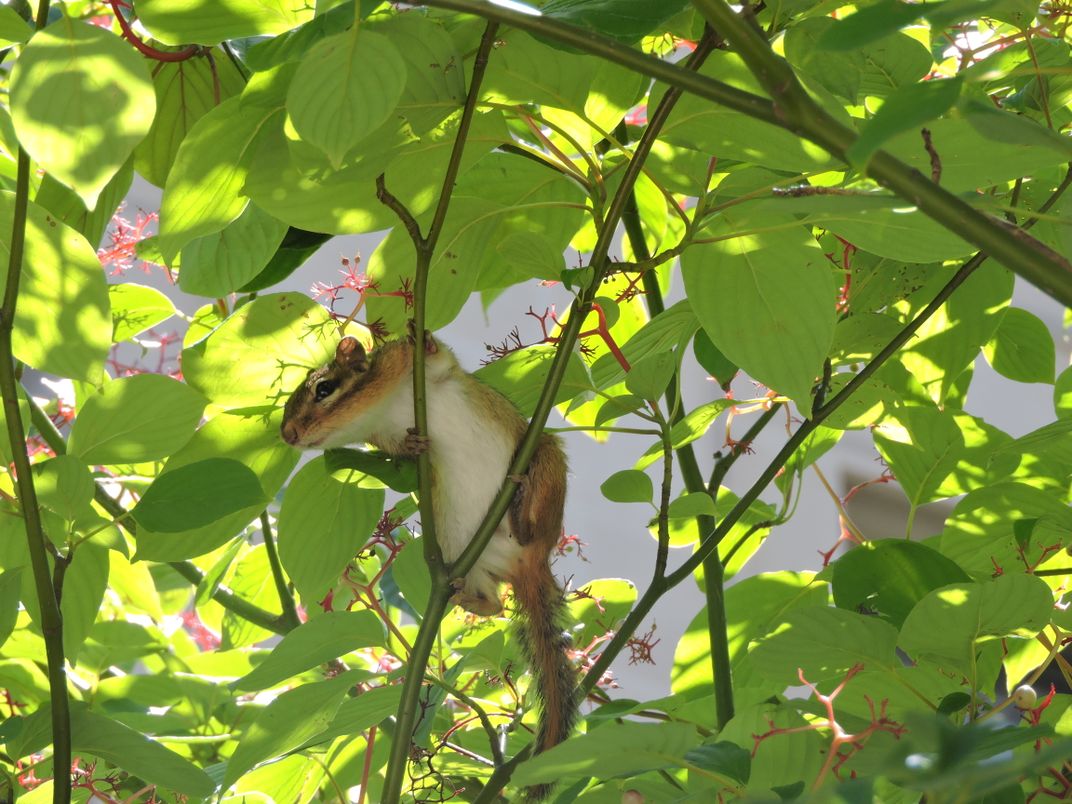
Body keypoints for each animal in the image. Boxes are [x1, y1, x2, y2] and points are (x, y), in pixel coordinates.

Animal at [281, 331, 576, 792]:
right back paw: (463, 597)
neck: (387, 405)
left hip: (547, 459)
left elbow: (436, 357)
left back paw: (522, 511)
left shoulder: (434, 375)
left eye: (324, 389)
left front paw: (419, 335)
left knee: (537, 528)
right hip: (457, 548)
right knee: (494, 604)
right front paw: (410, 445)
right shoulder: (380, 437)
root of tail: (526, 564)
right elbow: (398, 449)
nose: (288, 434)